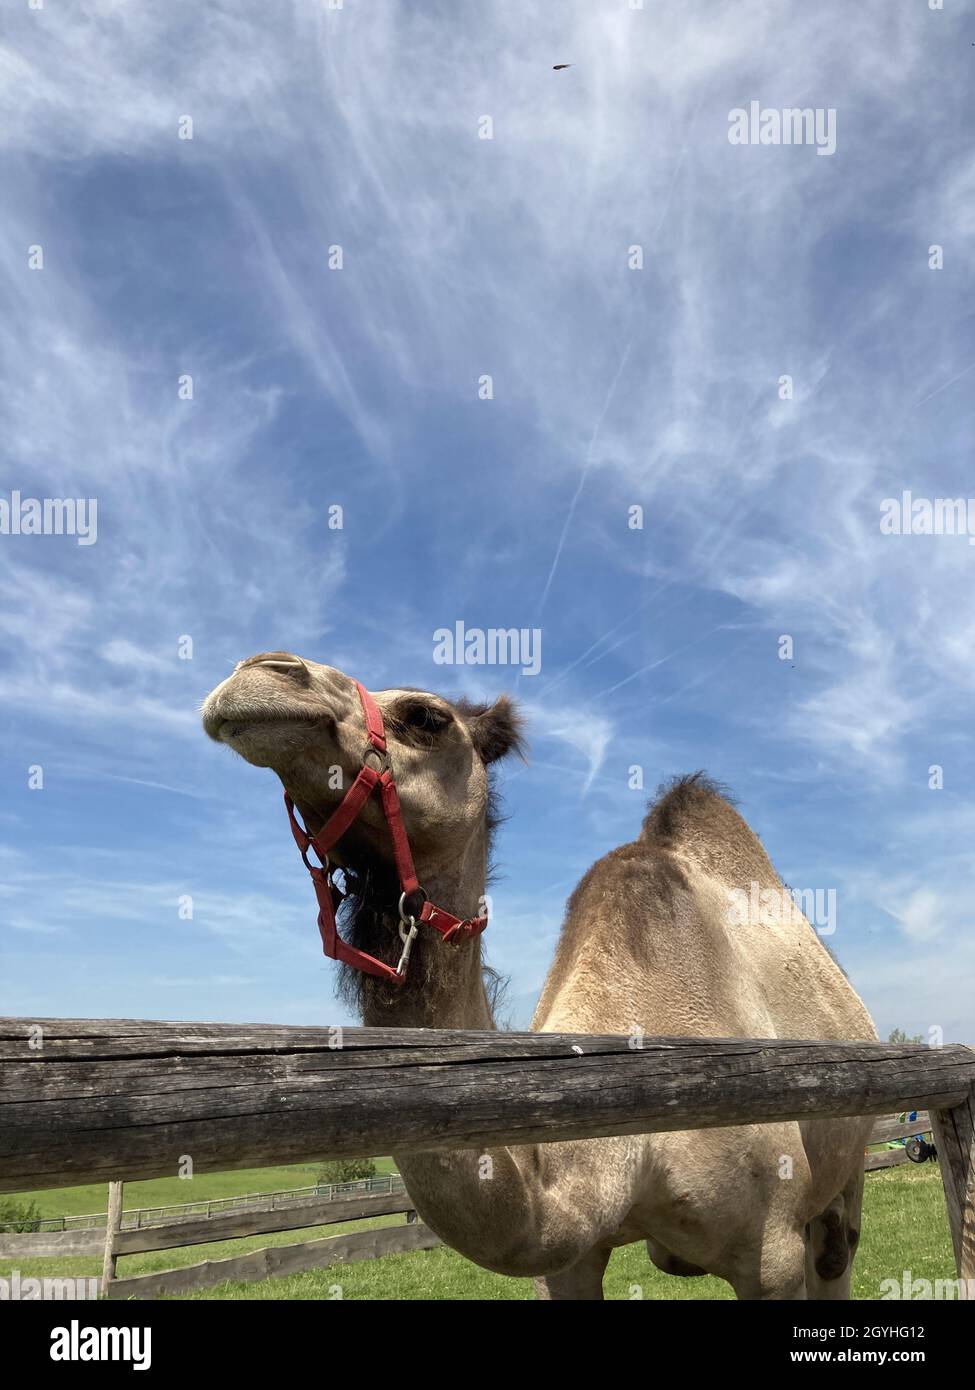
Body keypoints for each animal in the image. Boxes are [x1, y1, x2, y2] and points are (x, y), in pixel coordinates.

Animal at [202, 652, 878, 1300]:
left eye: (425, 717)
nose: (258, 674)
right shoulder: (566, 1265)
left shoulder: (770, 1250)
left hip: (847, 1168)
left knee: (836, 1249)